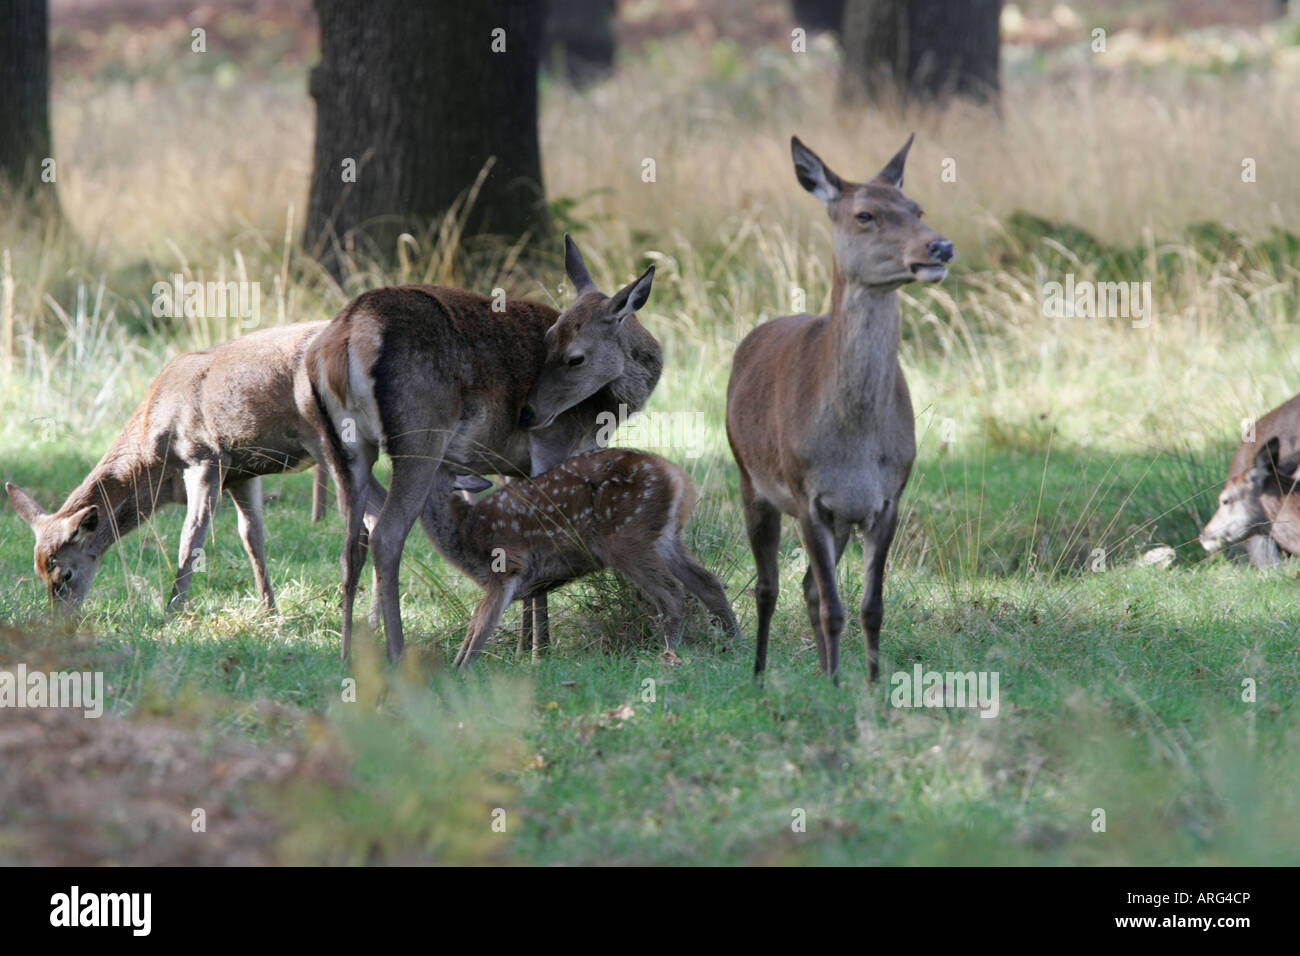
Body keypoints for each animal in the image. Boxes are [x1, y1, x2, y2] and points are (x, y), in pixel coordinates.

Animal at [5, 321, 352, 612]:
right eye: (38, 573)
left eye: (65, 573)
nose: (59, 620)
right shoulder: (243, 472)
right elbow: (252, 536)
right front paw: (268, 609)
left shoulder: (206, 457)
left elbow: (191, 536)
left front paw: (172, 610)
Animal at [303, 235, 663, 661]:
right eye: (549, 344)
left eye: (572, 356)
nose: (527, 415)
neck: (605, 412)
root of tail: (346, 336)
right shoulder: (553, 445)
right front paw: (540, 649)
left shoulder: (512, 463)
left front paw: (525, 642)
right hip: (420, 437)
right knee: (387, 535)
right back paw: (397, 652)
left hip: (342, 446)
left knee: (351, 544)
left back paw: (345, 654)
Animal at [416, 448, 738, 666]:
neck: (463, 533)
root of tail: (676, 476)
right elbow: (478, 622)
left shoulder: (507, 564)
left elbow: (480, 622)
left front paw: (459, 670)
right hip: (665, 537)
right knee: (708, 582)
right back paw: (736, 642)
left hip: (626, 536)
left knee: (671, 590)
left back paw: (670, 654)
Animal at [725, 134, 953, 684]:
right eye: (865, 214)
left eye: (917, 208)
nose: (940, 247)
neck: (854, 440)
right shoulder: (808, 495)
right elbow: (833, 605)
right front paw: (834, 685)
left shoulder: (885, 498)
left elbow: (871, 606)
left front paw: (867, 683)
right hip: (750, 478)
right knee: (767, 587)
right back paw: (759, 674)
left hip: (841, 520)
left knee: (807, 586)